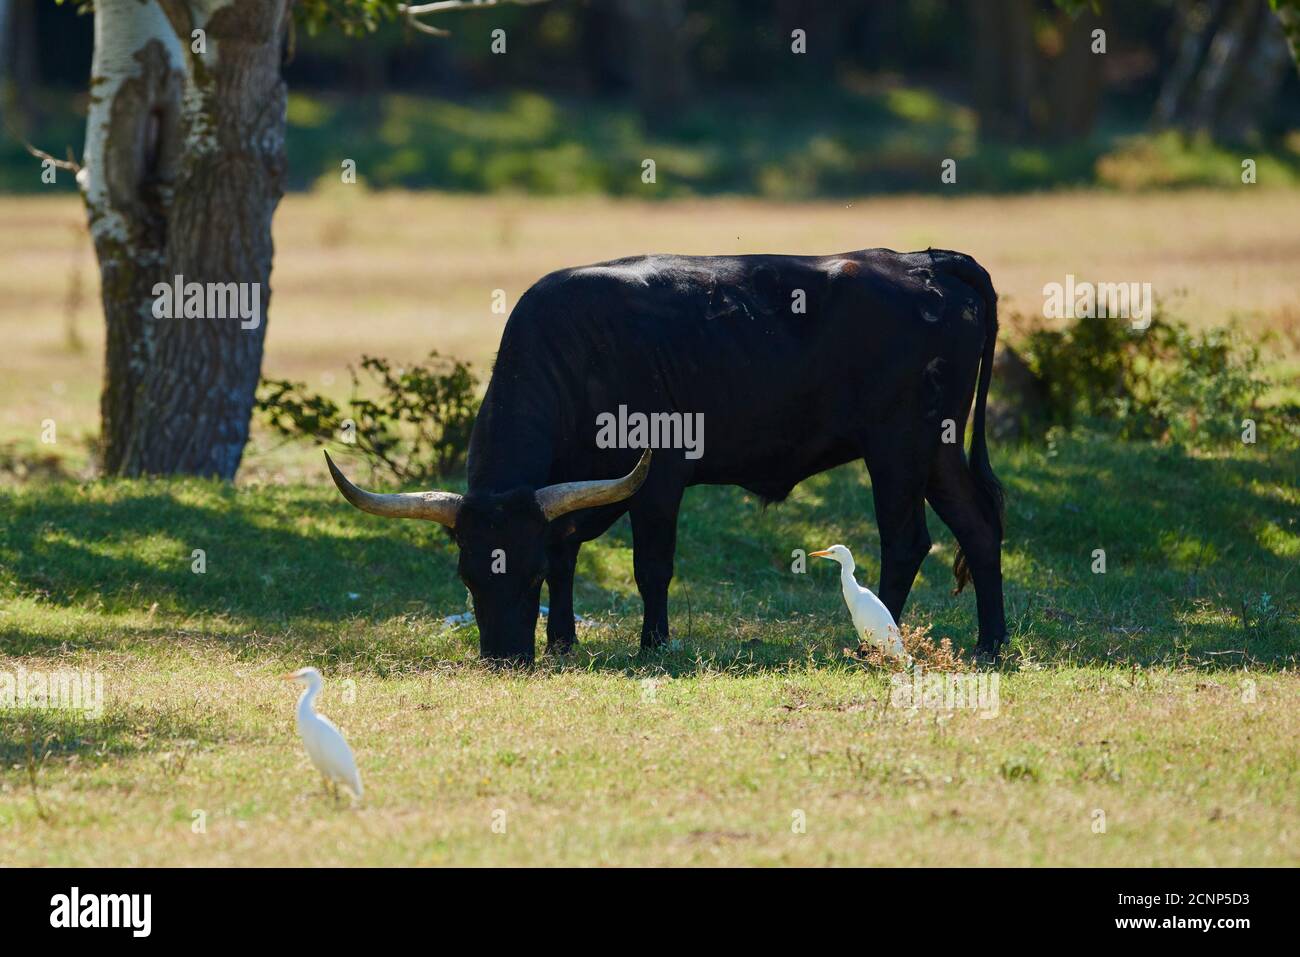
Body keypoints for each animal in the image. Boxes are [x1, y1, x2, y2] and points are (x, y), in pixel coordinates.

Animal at [325, 248, 1006, 665]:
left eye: (528, 577)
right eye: (468, 574)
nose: (504, 657)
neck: (577, 353)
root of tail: (926, 260)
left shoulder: (659, 479)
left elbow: (648, 566)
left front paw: (652, 643)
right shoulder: (574, 495)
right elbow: (568, 550)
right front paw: (563, 641)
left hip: (897, 445)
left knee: (905, 540)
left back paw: (877, 642)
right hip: (938, 448)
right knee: (977, 525)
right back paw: (990, 643)